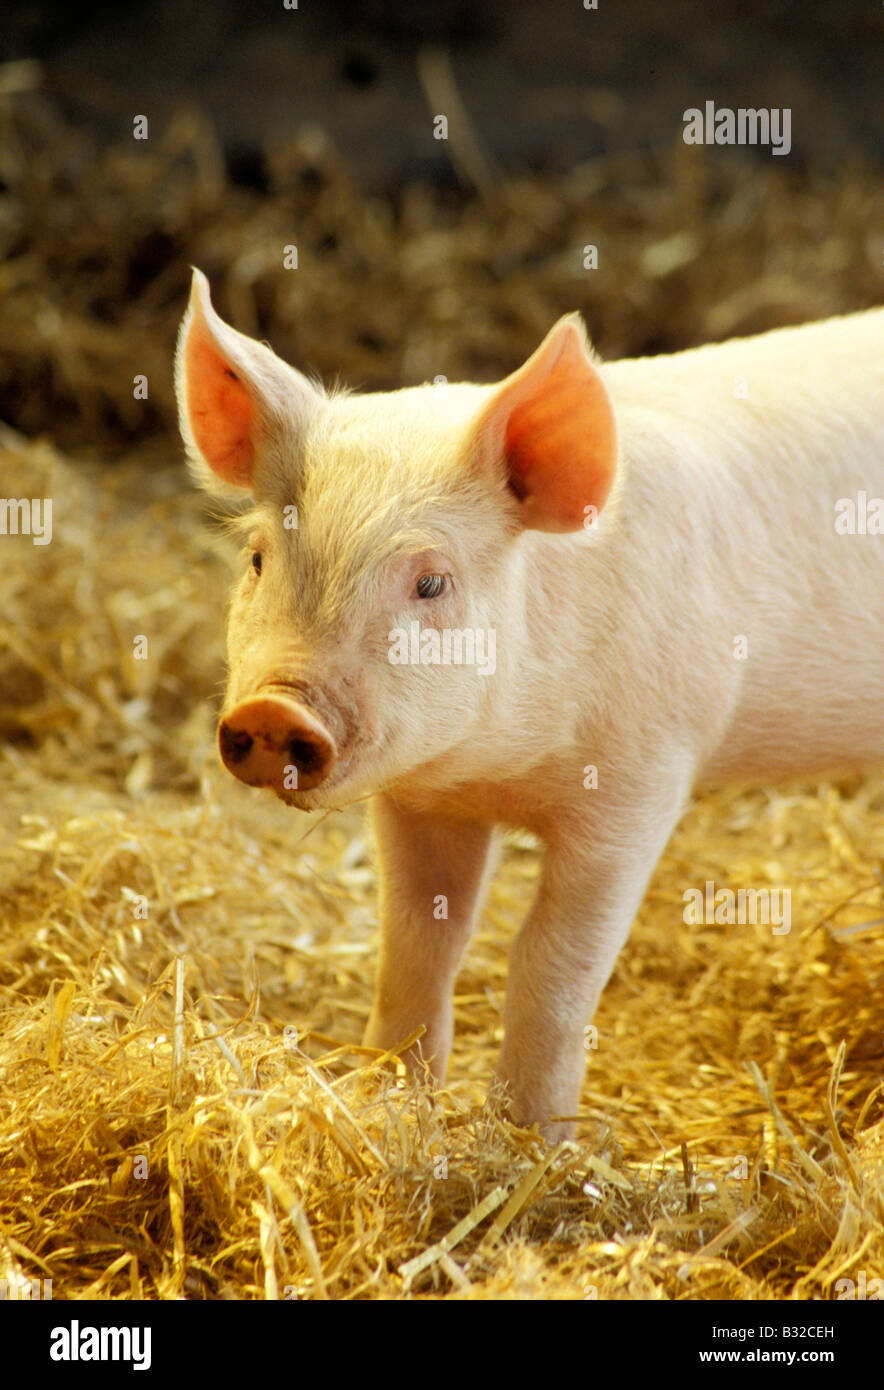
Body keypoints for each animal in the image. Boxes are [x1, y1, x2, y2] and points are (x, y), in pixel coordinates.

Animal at [176, 268, 884, 1141]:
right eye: (257, 559)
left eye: (431, 581)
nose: (275, 712)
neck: (495, 769)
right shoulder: (419, 800)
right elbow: (416, 944)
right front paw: (390, 1099)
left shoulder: (642, 781)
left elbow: (549, 962)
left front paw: (531, 1141)